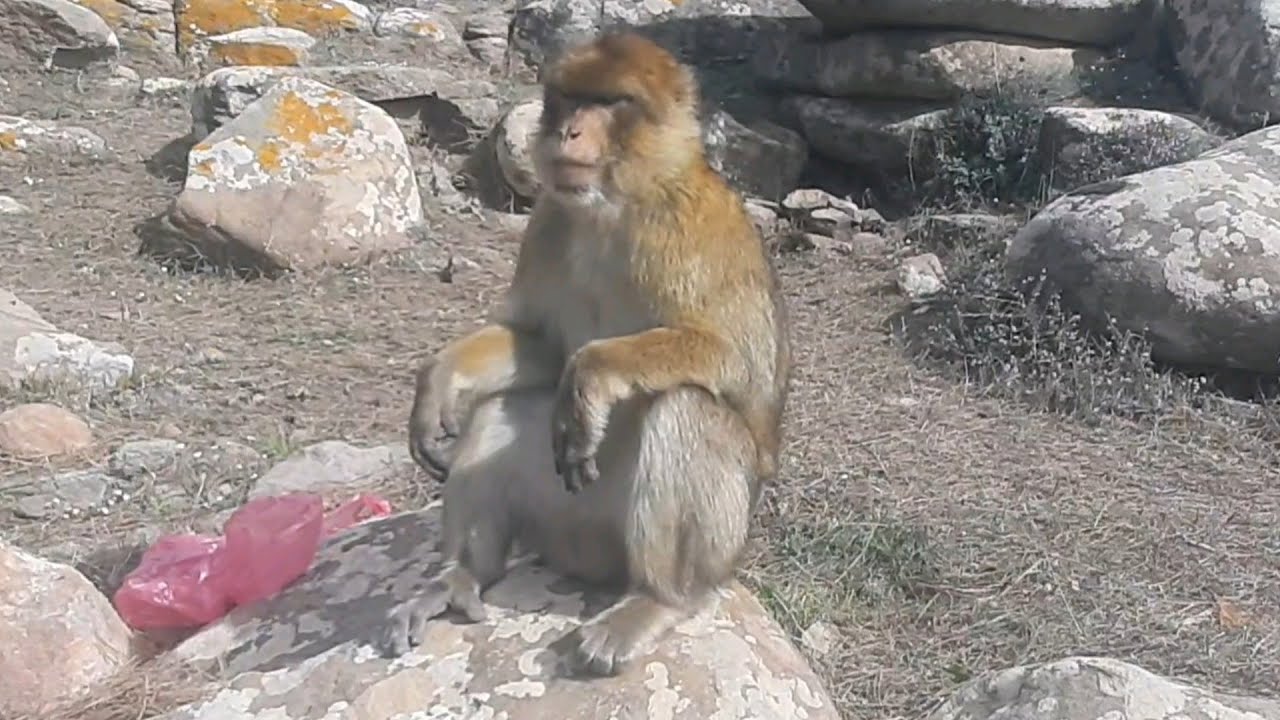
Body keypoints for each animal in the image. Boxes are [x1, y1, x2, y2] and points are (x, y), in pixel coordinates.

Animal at [380, 30, 792, 677]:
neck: (615, 205)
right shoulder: (549, 219)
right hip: (560, 520)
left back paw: (659, 599)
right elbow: (542, 346)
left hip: (701, 540)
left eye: (610, 101)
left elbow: (736, 362)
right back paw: (464, 573)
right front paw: (438, 379)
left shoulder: (691, 228)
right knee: (504, 407)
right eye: (570, 99)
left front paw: (591, 374)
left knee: (687, 406)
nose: (569, 131)